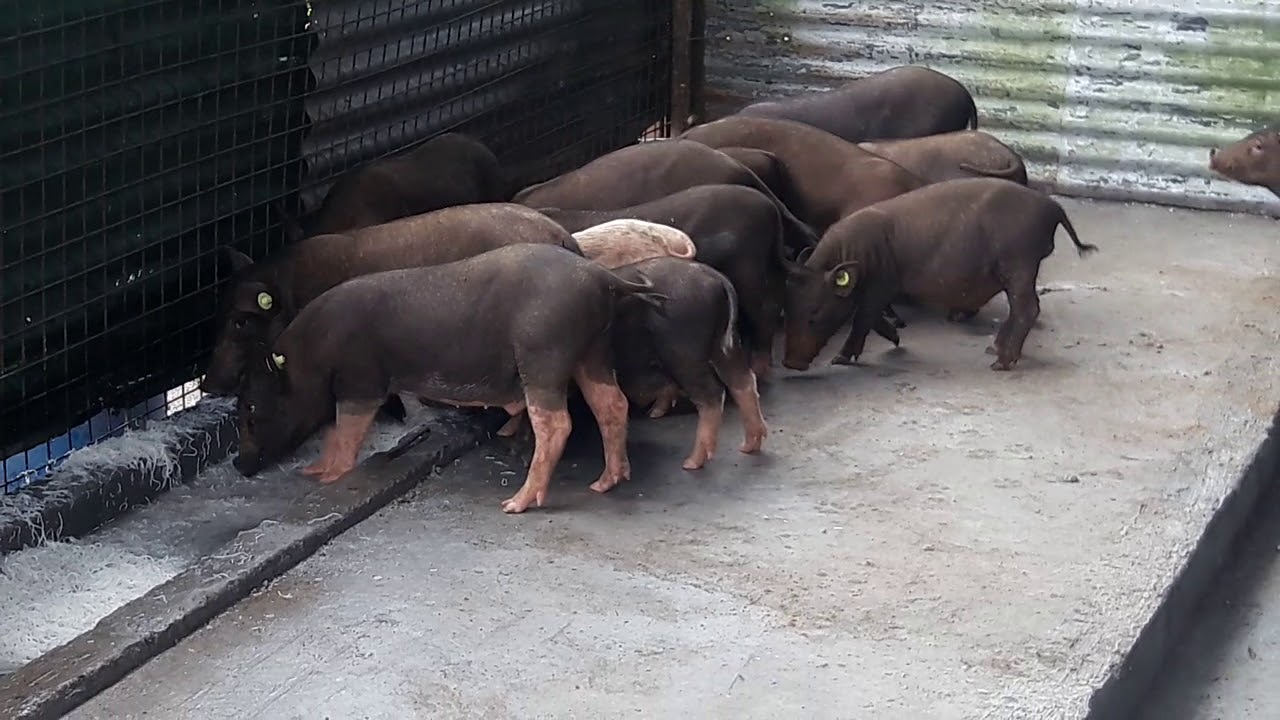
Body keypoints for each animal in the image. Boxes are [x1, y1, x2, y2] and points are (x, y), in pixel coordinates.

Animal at [233, 243, 667, 514]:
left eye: (251, 408)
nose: (238, 463)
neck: (311, 357)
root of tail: (601, 277)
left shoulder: (362, 379)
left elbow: (346, 432)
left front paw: (325, 478)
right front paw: (312, 471)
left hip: (543, 354)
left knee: (557, 423)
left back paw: (514, 504)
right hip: (593, 351)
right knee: (612, 403)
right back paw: (607, 481)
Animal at [610, 258, 767, 469]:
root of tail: (714, 276)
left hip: (683, 350)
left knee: (711, 394)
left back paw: (690, 463)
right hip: (724, 343)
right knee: (744, 381)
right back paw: (748, 447)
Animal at [783, 178, 1097, 372]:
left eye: (814, 314)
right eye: (788, 310)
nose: (789, 364)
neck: (854, 255)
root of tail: (1053, 207)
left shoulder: (881, 285)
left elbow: (863, 319)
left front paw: (839, 359)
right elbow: (871, 319)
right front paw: (896, 337)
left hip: (1019, 263)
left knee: (1027, 309)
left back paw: (1000, 363)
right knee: (1018, 309)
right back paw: (992, 350)